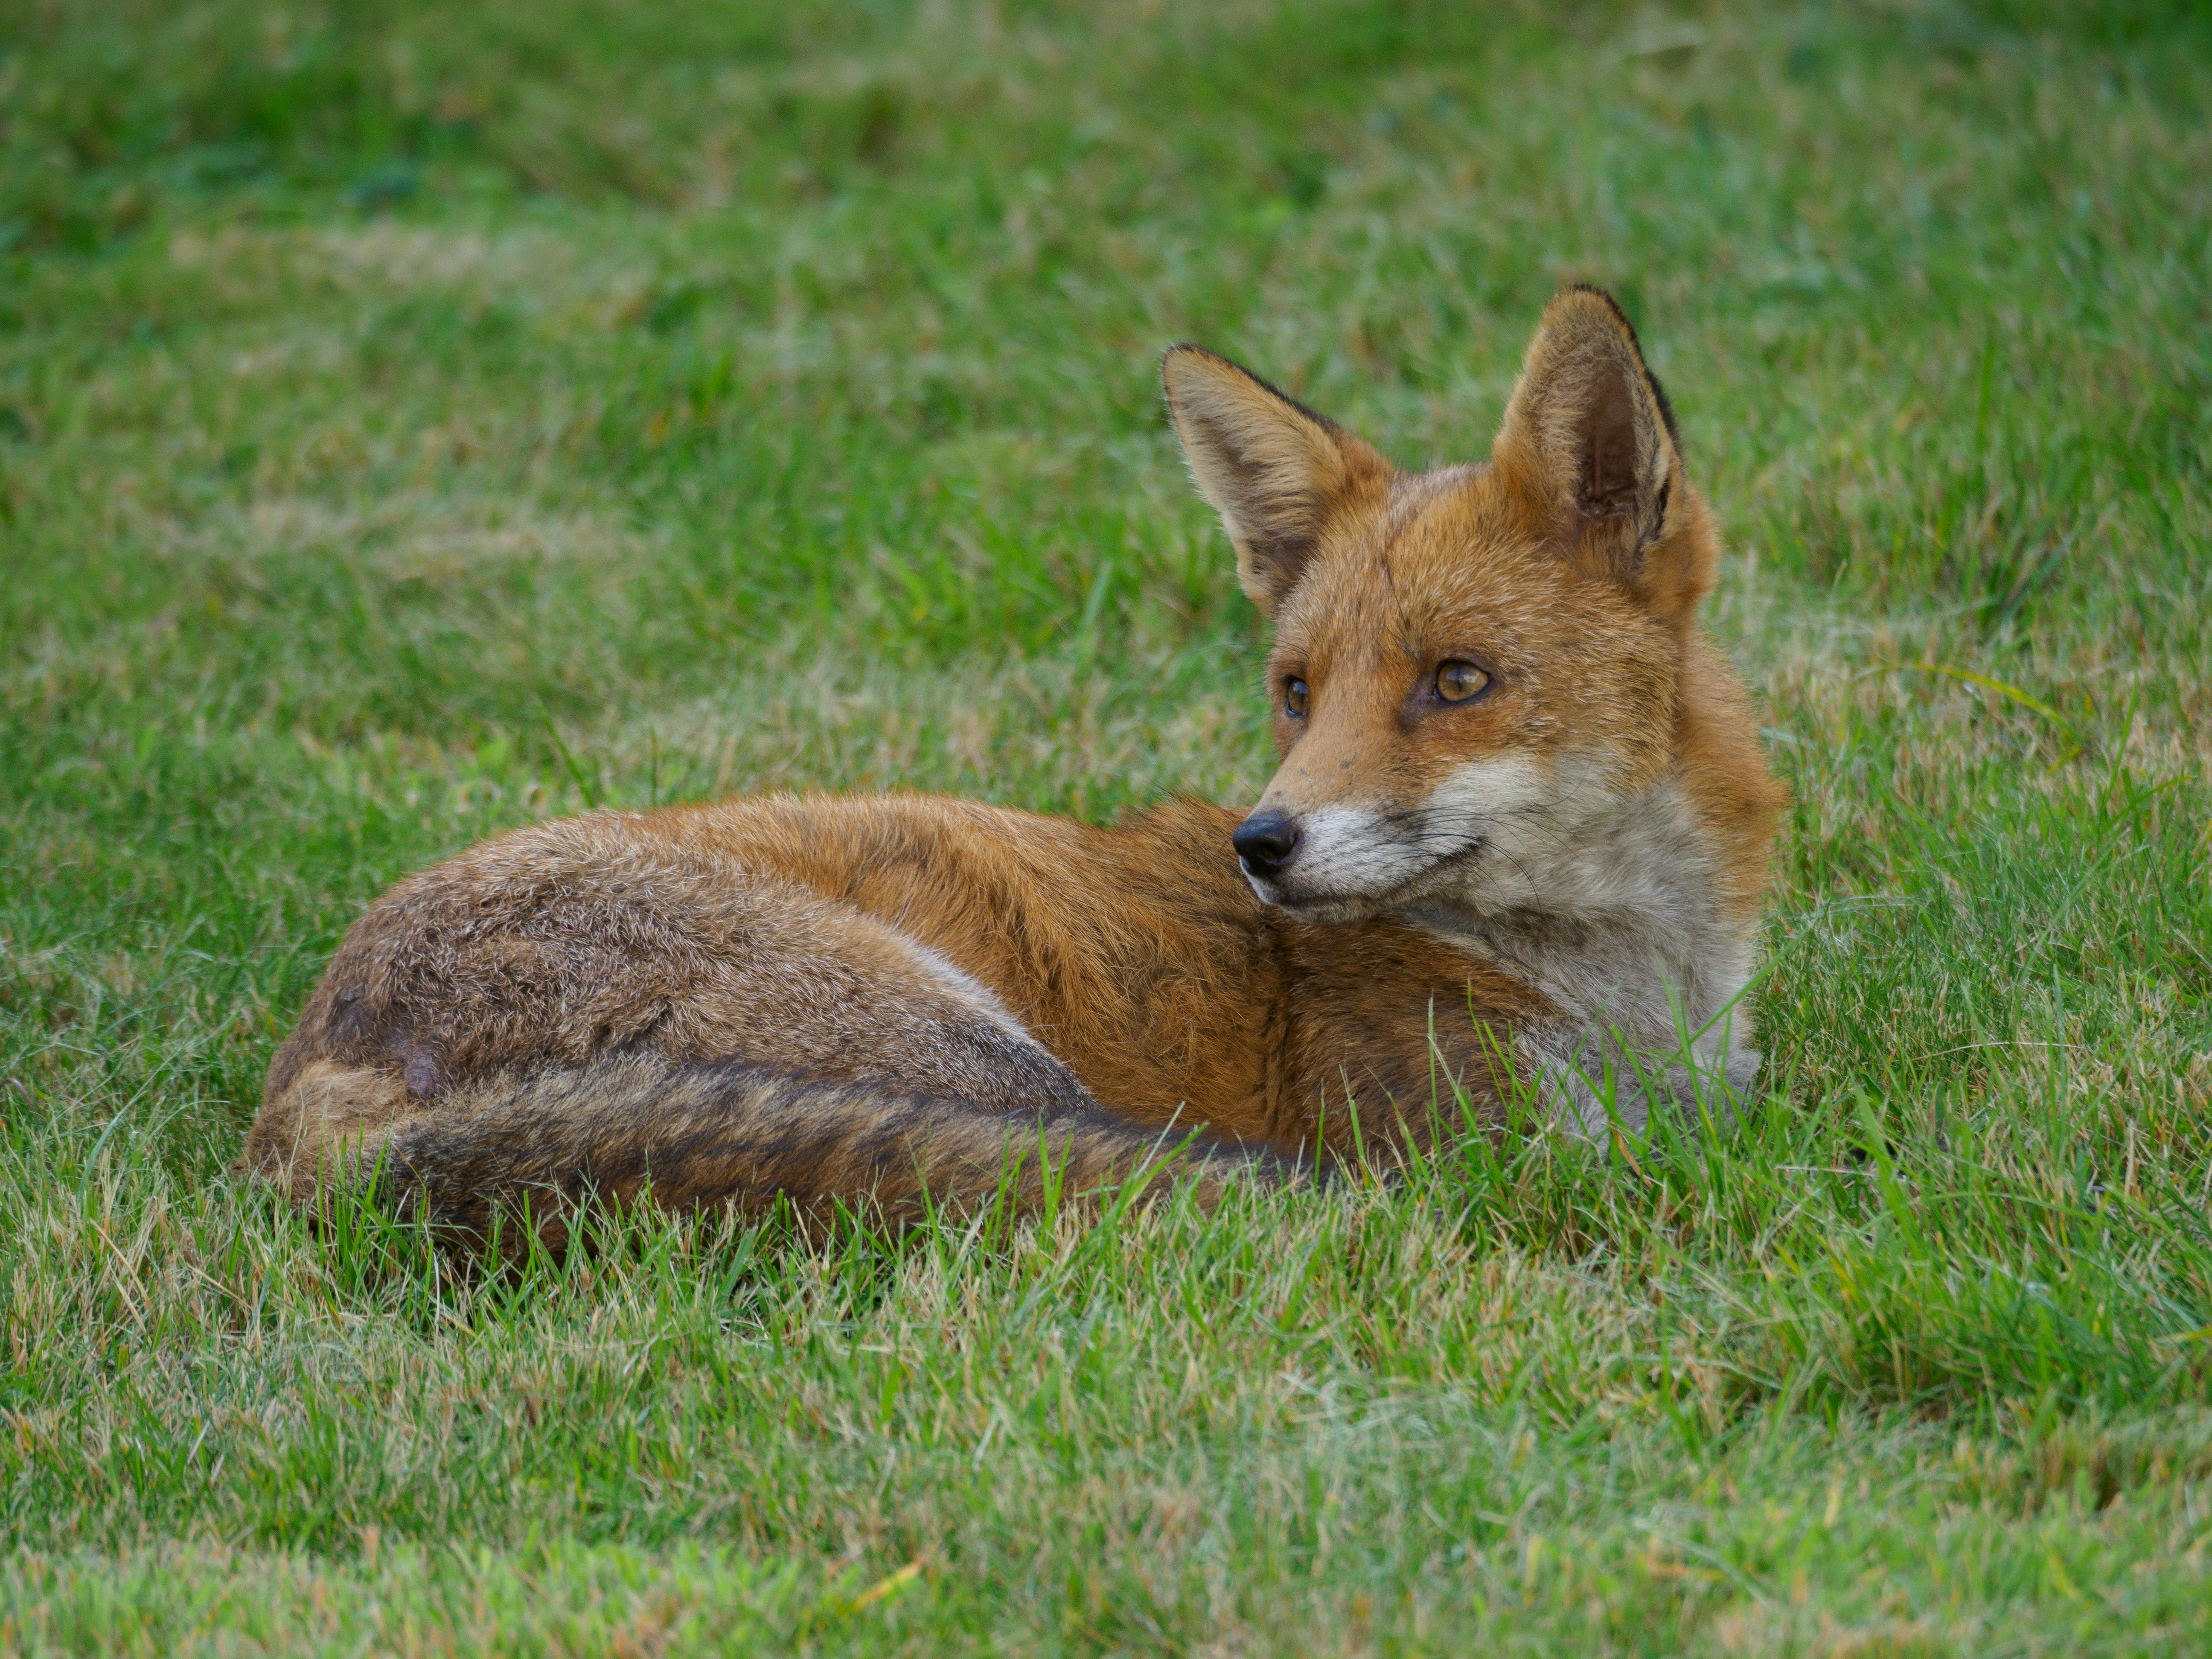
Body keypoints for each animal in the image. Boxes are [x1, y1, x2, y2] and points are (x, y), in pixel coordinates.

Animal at [243, 286, 1787, 1242]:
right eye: (1297, 693)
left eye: (1455, 683)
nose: (1262, 844)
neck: (1636, 1006)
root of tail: (309, 1085)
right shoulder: (1507, 1145)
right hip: (987, 1061)